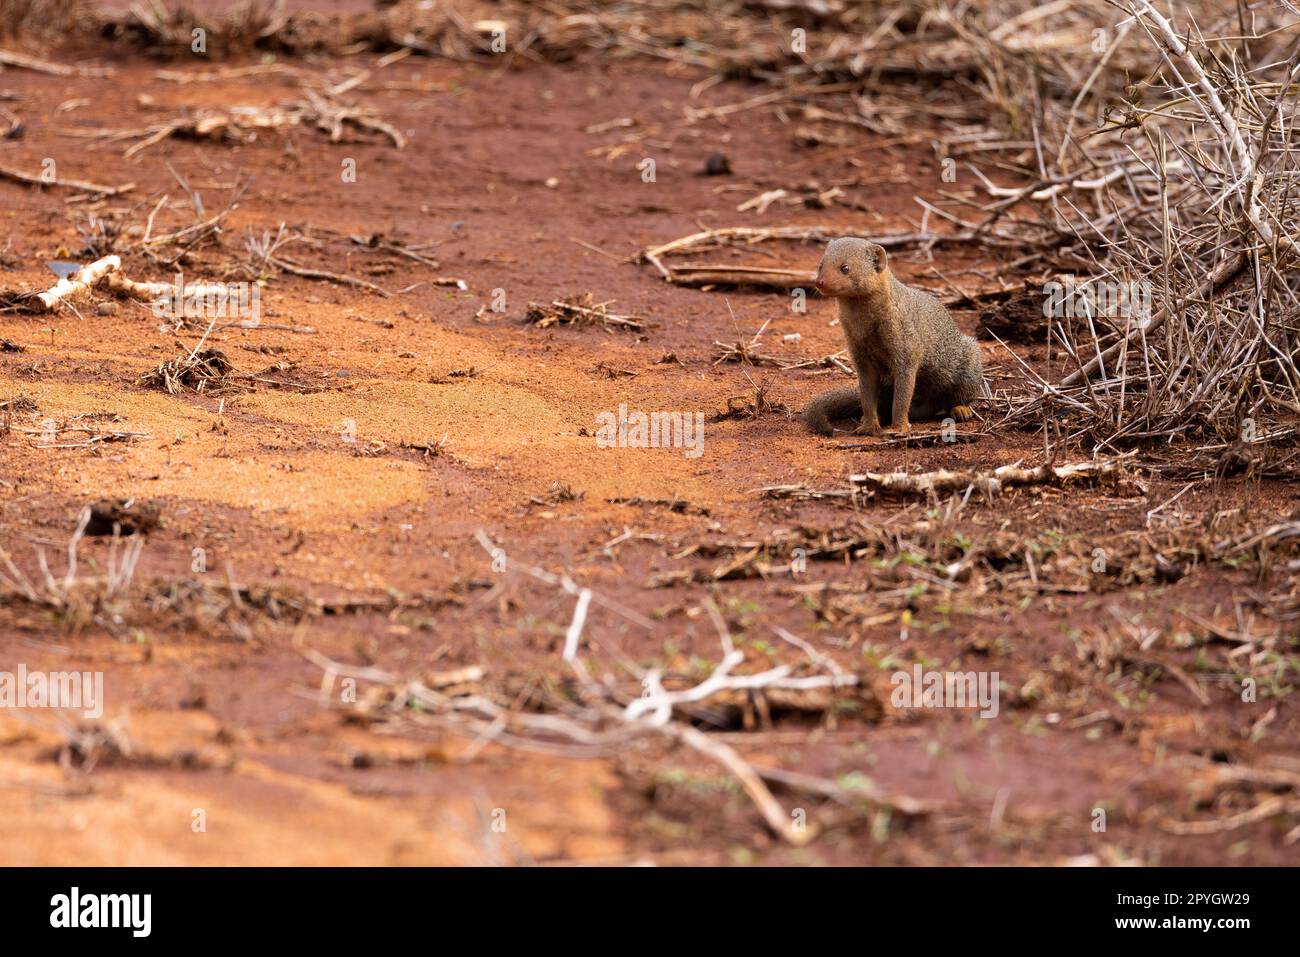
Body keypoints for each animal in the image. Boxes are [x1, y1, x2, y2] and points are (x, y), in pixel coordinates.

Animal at [805, 237, 983, 436]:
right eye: (821, 265)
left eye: (845, 268)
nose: (820, 282)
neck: (865, 325)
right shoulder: (858, 352)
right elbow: (866, 395)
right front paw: (868, 426)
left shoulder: (906, 348)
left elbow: (902, 397)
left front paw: (898, 429)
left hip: (969, 358)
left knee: (961, 394)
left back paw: (961, 409)